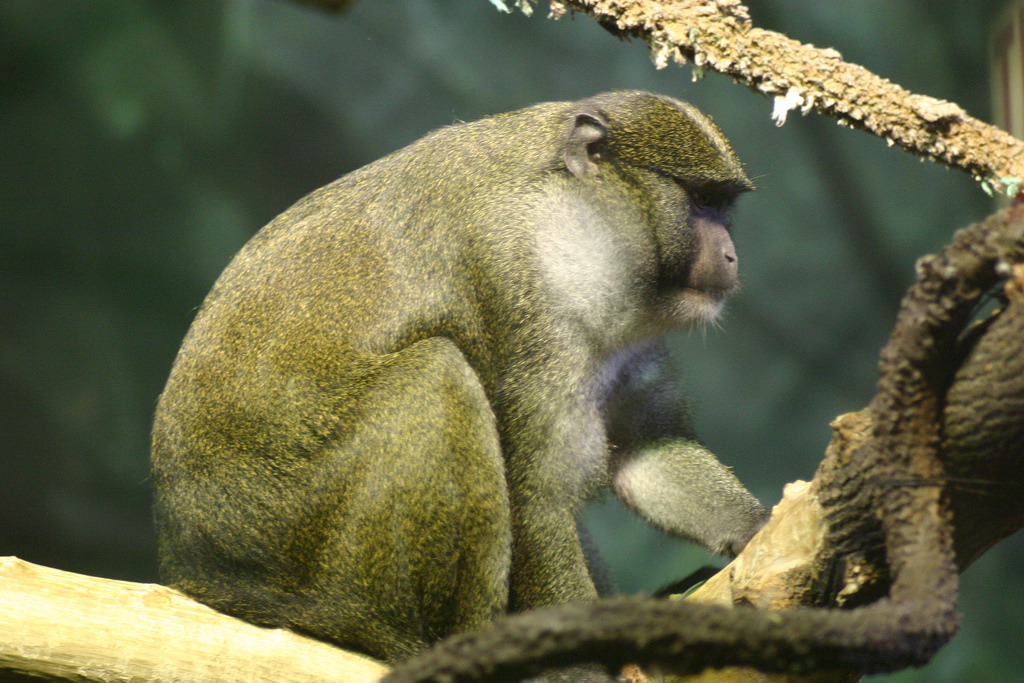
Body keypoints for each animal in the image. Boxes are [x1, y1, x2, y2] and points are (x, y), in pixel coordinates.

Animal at [150, 90, 767, 674]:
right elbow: (537, 498)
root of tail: (197, 568)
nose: (732, 256)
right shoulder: (512, 279)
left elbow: (648, 450)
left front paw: (762, 528)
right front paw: (580, 668)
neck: (571, 216)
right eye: (700, 203)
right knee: (436, 375)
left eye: (724, 207)